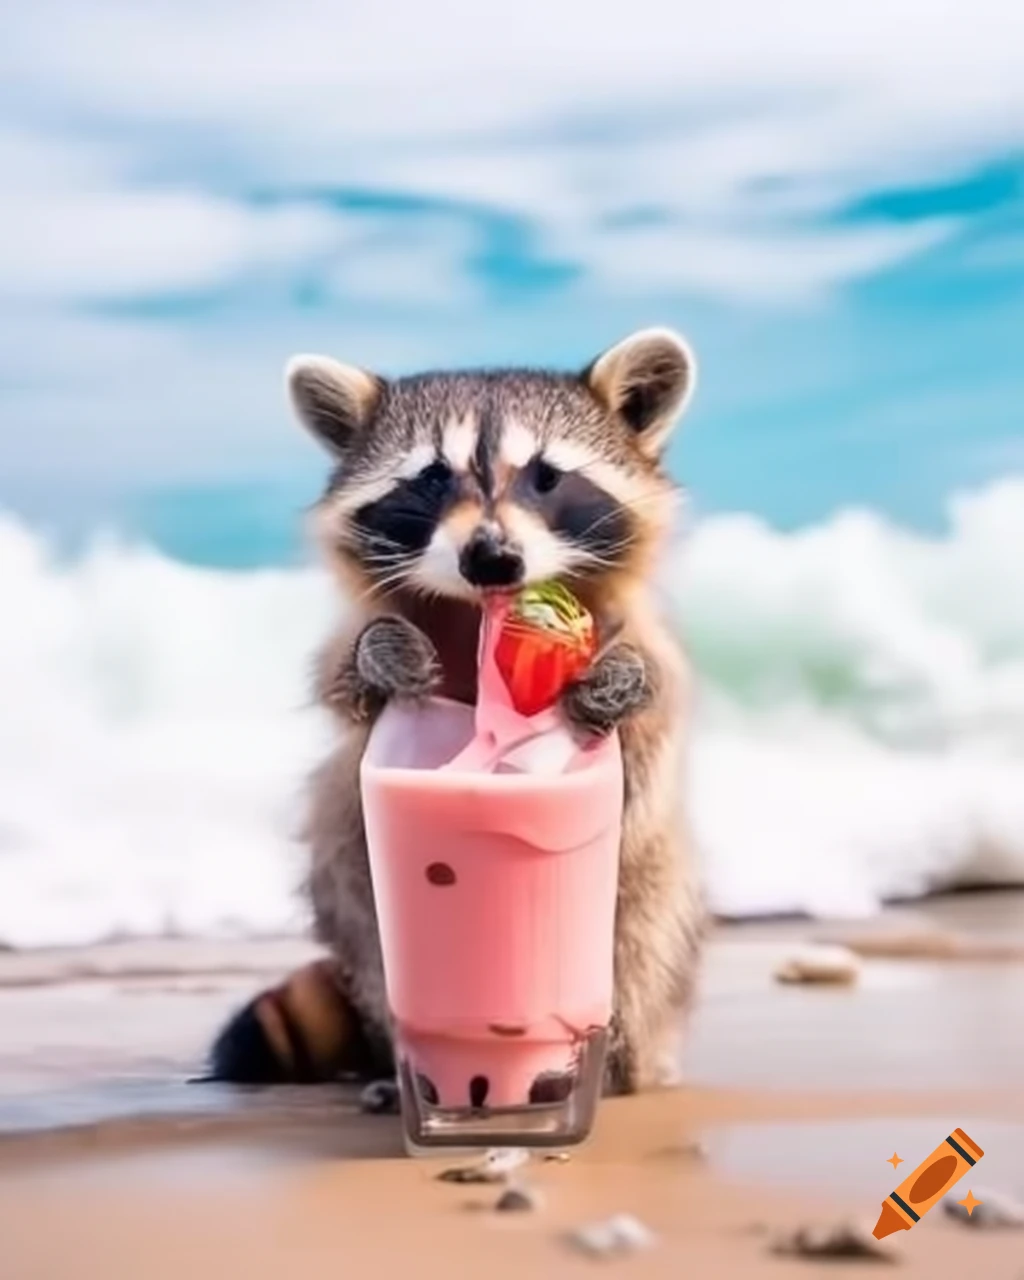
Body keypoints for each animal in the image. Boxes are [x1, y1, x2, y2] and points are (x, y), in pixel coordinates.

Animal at [207, 328, 706, 1098]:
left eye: (546, 477)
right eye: (432, 479)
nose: (492, 556)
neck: (475, 613)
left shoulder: (640, 634)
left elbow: (662, 693)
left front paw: (628, 678)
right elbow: (336, 680)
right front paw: (374, 656)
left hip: (652, 896)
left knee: (646, 925)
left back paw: (617, 1056)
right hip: (353, 886)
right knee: (350, 873)